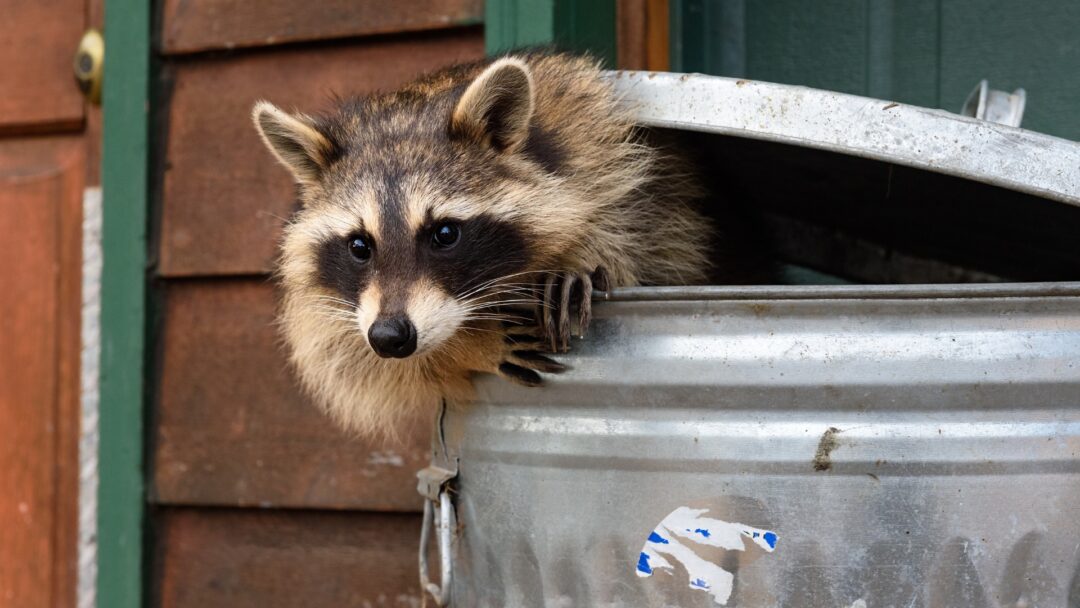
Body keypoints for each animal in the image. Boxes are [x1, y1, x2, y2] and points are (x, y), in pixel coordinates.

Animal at [253, 51, 755, 436]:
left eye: (444, 235)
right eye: (359, 246)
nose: (392, 336)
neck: (410, 113)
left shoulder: (606, 153)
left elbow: (643, 232)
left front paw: (581, 254)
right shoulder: (335, 308)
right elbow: (351, 358)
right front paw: (469, 345)